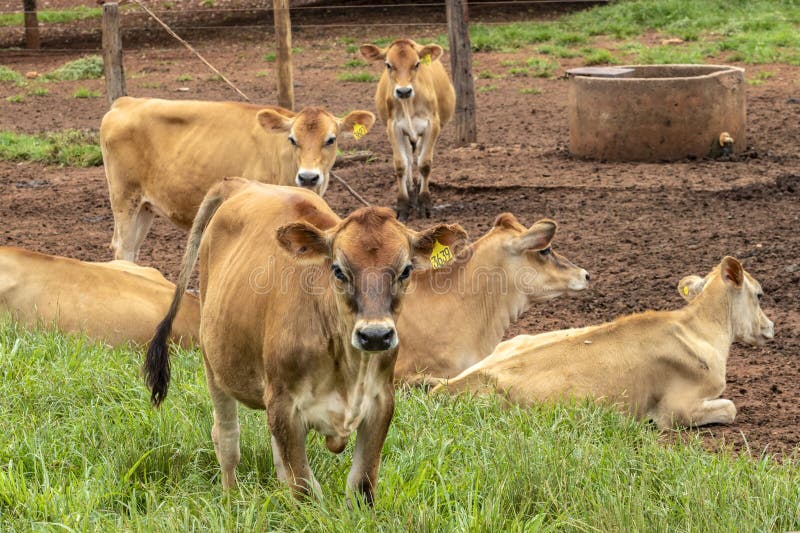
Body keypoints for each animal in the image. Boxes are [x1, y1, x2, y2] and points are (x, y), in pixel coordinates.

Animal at [99, 97, 376, 262]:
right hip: (124, 199)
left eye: (331, 139)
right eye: (292, 139)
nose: (308, 176)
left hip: (145, 207)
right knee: (122, 247)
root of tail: (126, 102)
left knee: (132, 249)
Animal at [143, 178, 467, 502]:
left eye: (406, 270)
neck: (348, 368)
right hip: (215, 365)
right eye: (338, 270)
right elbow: (305, 489)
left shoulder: (381, 403)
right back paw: (231, 497)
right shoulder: (284, 406)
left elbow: (360, 485)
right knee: (226, 439)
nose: (375, 335)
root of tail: (242, 183)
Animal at [360, 39, 455, 220]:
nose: (403, 91)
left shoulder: (432, 125)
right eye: (388, 64)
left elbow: (425, 164)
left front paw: (425, 203)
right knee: (410, 159)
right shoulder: (393, 127)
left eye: (417, 64)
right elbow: (401, 165)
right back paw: (411, 191)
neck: (409, 104)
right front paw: (403, 205)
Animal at [433, 257, 775, 429]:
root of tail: (443, 387)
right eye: (760, 294)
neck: (699, 329)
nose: (771, 326)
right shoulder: (676, 410)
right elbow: (730, 407)